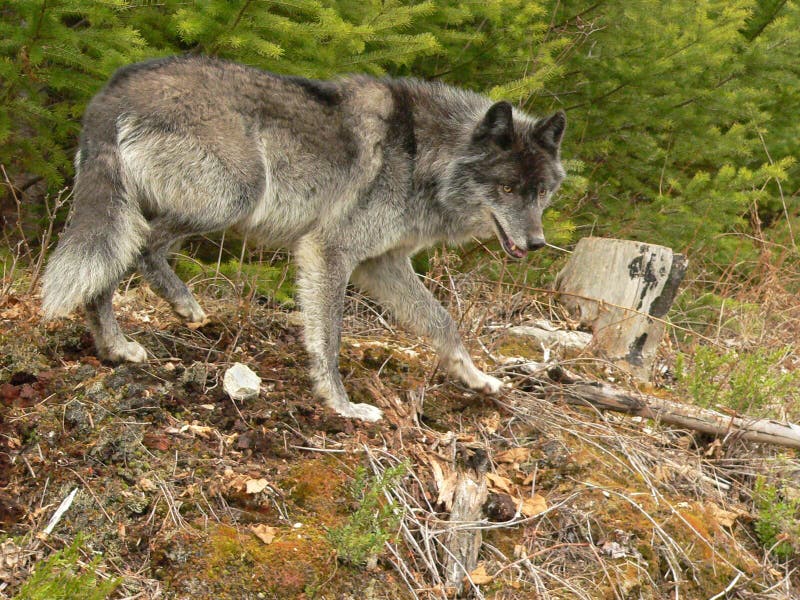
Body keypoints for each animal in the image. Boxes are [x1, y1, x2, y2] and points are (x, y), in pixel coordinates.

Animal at [41, 56, 566, 422]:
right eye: (507, 189)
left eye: (541, 191)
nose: (536, 244)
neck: (425, 154)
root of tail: (111, 88)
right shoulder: (328, 251)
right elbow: (329, 338)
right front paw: (341, 405)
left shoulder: (383, 264)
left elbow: (442, 322)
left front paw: (474, 377)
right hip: (236, 194)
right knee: (146, 247)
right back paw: (182, 305)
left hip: (148, 207)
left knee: (112, 268)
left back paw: (116, 348)